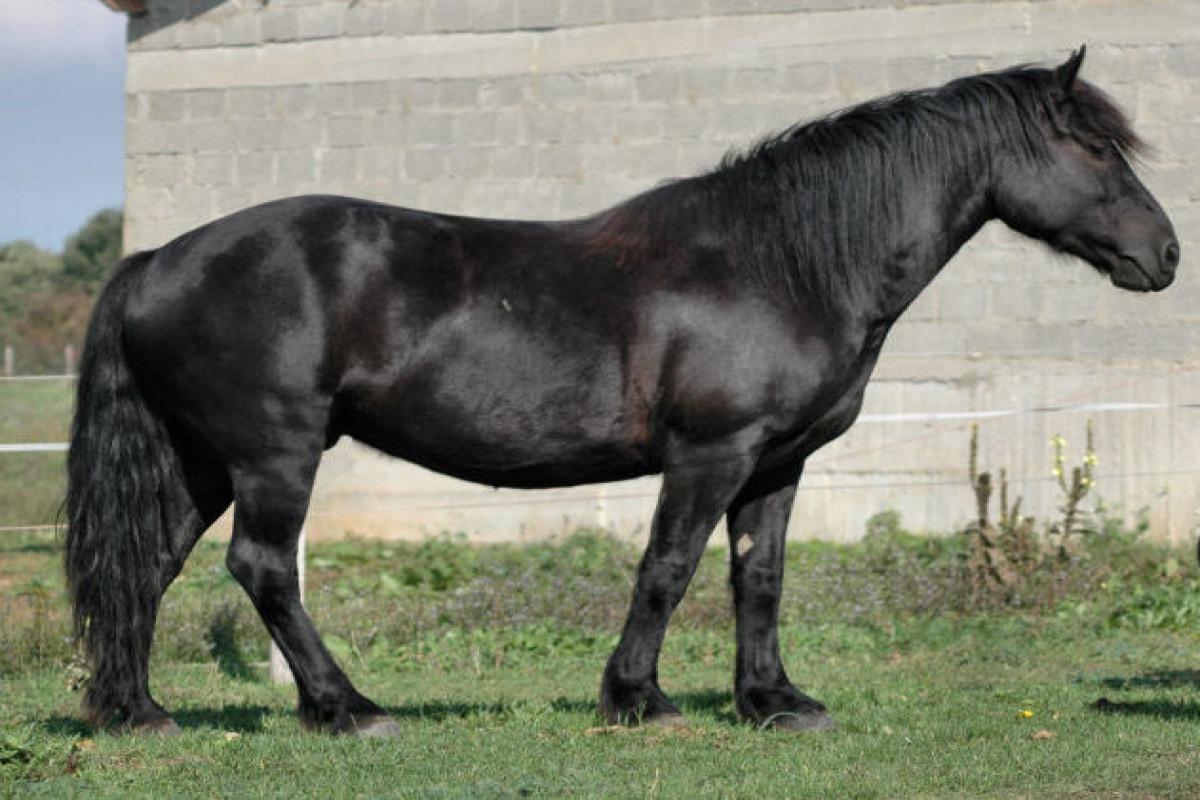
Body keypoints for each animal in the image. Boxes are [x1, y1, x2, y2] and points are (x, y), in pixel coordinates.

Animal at [65, 47, 1178, 736]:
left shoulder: (776, 464)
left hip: (204, 462)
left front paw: (774, 701)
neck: (778, 262)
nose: (1164, 254)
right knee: (262, 570)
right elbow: (668, 569)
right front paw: (638, 698)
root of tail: (159, 259)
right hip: (274, 454)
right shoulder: (711, 454)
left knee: (147, 568)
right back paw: (349, 707)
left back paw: (139, 713)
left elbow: (758, 579)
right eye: (1092, 146)